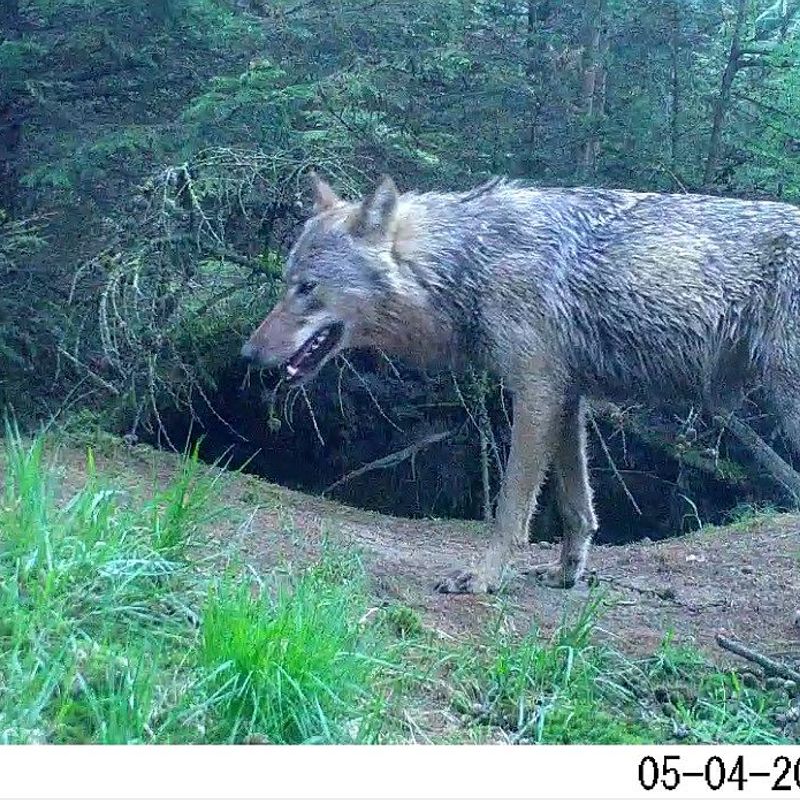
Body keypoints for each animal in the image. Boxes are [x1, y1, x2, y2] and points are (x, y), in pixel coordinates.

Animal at [241, 173, 800, 593]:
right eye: (285, 281)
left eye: (307, 288)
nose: (247, 354)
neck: (471, 261)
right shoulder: (569, 397)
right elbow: (577, 509)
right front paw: (566, 575)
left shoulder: (535, 393)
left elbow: (510, 508)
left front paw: (484, 577)